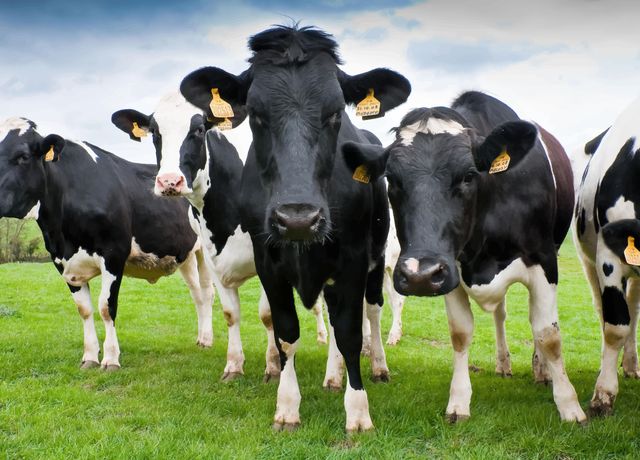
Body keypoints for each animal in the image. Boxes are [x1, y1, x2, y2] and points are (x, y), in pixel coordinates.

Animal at [0, 117, 214, 370]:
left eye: (23, 156)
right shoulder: (63, 263)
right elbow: (84, 310)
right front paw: (90, 356)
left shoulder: (113, 254)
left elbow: (106, 307)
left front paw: (111, 358)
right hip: (186, 254)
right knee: (196, 292)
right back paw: (200, 338)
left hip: (206, 252)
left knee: (207, 292)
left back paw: (207, 339)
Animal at [112, 92, 328, 381]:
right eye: (156, 132)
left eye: (199, 130)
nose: (169, 182)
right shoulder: (212, 256)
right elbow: (230, 314)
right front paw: (234, 365)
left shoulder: (267, 257)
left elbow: (267, 314)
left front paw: (273, 366)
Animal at [179, 25, 411, 431]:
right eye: (256, 114)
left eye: (335, 113)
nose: (298, 219)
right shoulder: (268, 262)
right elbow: (286, 333)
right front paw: (287, 406)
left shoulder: (352, 261)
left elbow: (350, 334)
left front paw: (358, 411)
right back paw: (332, 377)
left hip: (377, 257)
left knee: (372, 311)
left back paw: (376, 366)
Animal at [342, 91, 586, 423]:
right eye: (392, 178)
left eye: (469, 176)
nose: (419, 275)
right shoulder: (449, 269)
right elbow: (460, 333)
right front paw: (458, 401)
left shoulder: (544, 260)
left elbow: (548, 334)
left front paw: (570, 405)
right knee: (500, 314)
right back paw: (503, 363)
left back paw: (541, 371)